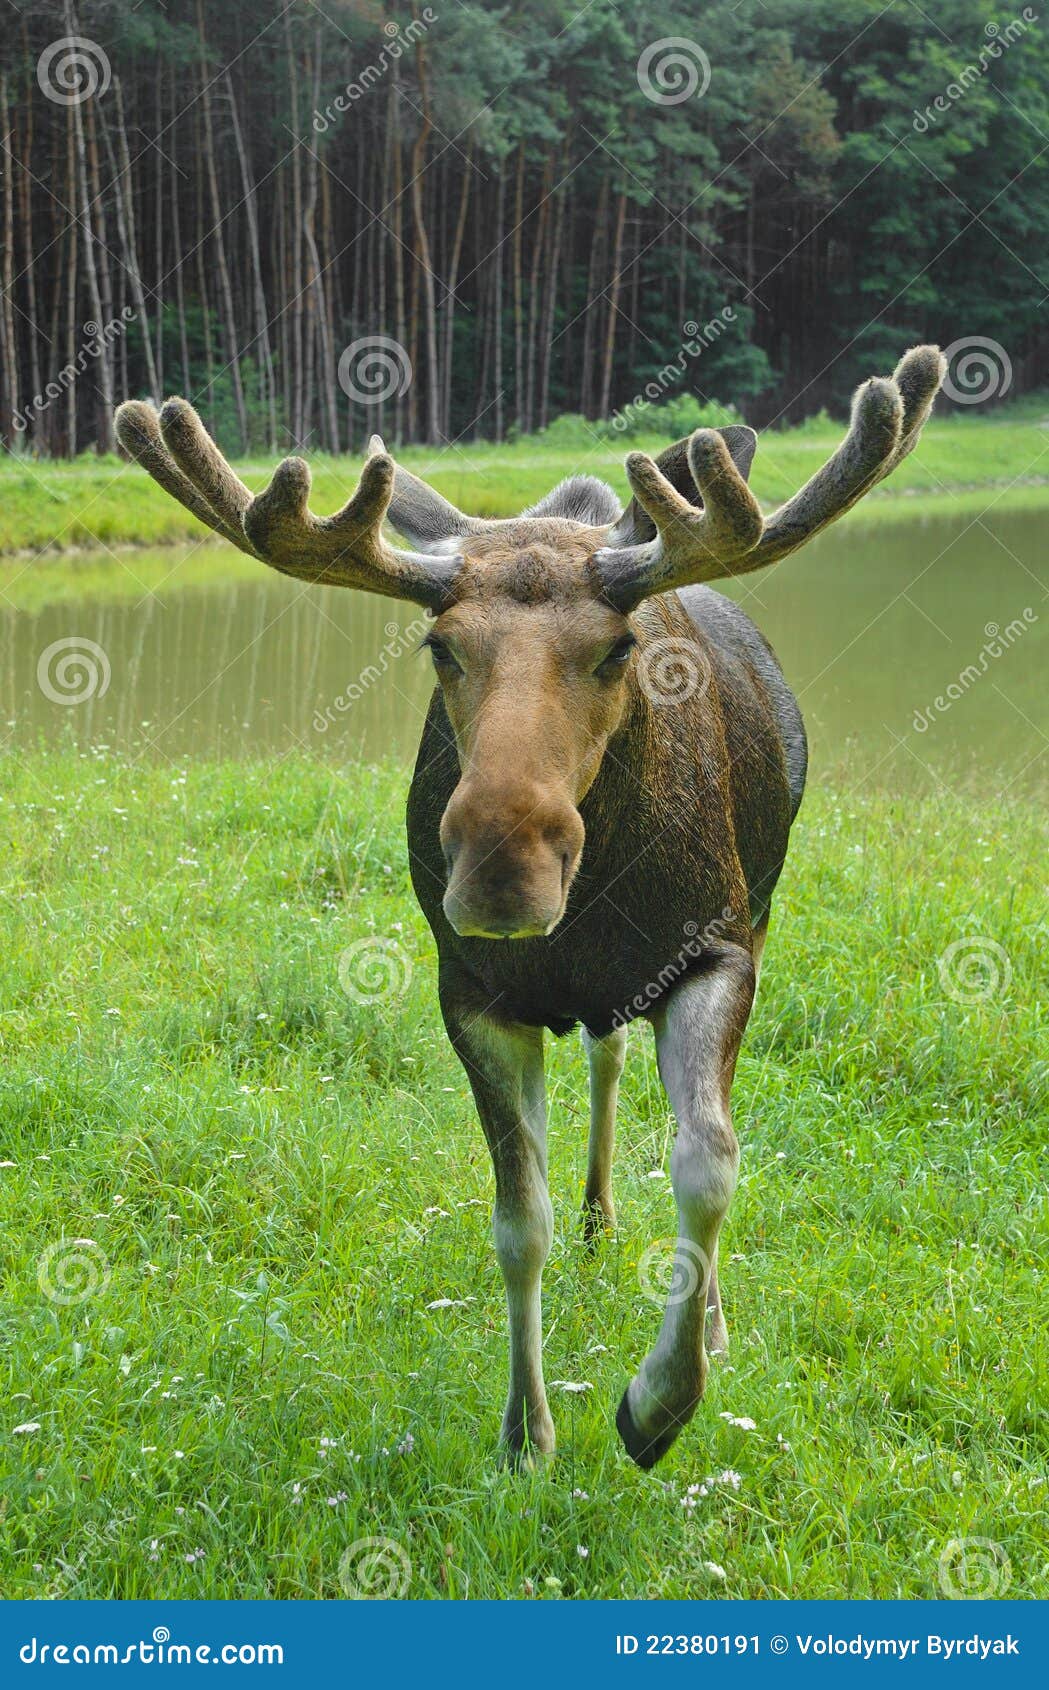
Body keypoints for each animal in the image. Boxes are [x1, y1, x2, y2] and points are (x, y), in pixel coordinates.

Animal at [114, 343, 946, 1469]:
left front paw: (662, 1397)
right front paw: (525, 1433)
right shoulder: (472, 991)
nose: (501, 867)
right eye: (438, 646)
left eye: (617, 646)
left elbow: (709, 1161)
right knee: (603, 1053)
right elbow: (520, 1222)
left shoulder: (720, 948)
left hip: (762, 905)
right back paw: (600, 1220)